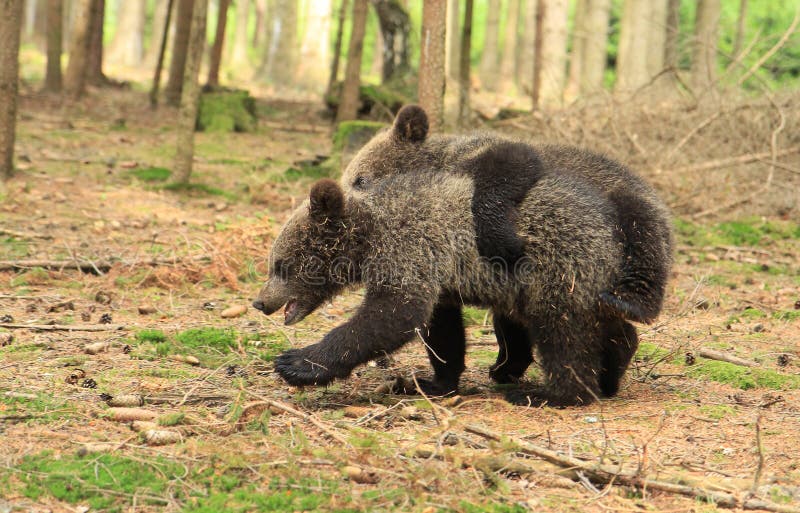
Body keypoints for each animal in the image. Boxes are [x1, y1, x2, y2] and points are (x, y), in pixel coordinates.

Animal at [253, 171, 636, 406]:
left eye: (281, 264)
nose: (260, 302)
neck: (368, 238)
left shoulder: (408, 248)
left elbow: (392, 314)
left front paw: (297, 363)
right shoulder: (438, 274)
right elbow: (441, 330)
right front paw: (432, 382)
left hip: (557, 268)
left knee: (564, 335)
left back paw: (555, 394)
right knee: (605, 325)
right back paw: (612, 370)